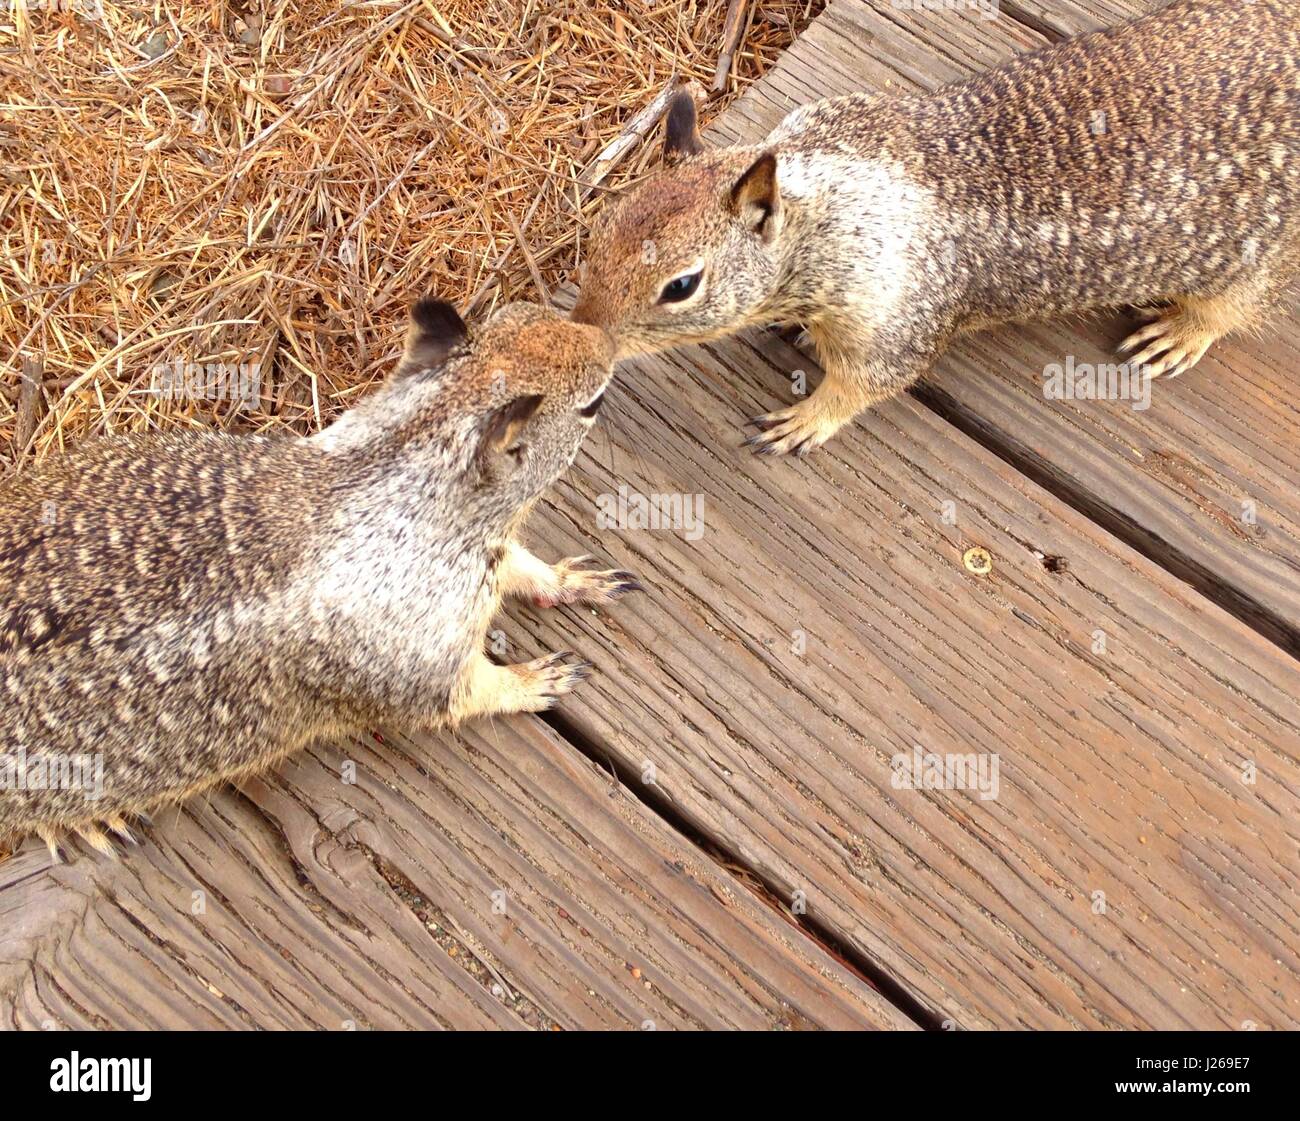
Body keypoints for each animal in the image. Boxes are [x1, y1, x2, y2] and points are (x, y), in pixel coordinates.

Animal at [0, 300, 639, 859]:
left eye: (522, 312)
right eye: (591, 403)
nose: (607, 338)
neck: (385, 466)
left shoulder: (489, 552)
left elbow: (520, 565)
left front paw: (571, 580)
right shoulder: (419, 663)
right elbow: (466, 695)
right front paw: (535, 680)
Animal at [572, 0, 1300, 455]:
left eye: (681, 285)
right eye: (600, 230)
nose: (584, 336)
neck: (823, 206)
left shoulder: (894, 321)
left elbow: (865, 385)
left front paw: (808, 418)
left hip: (1256, 264)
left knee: (1231, 309)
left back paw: (1180, 332)